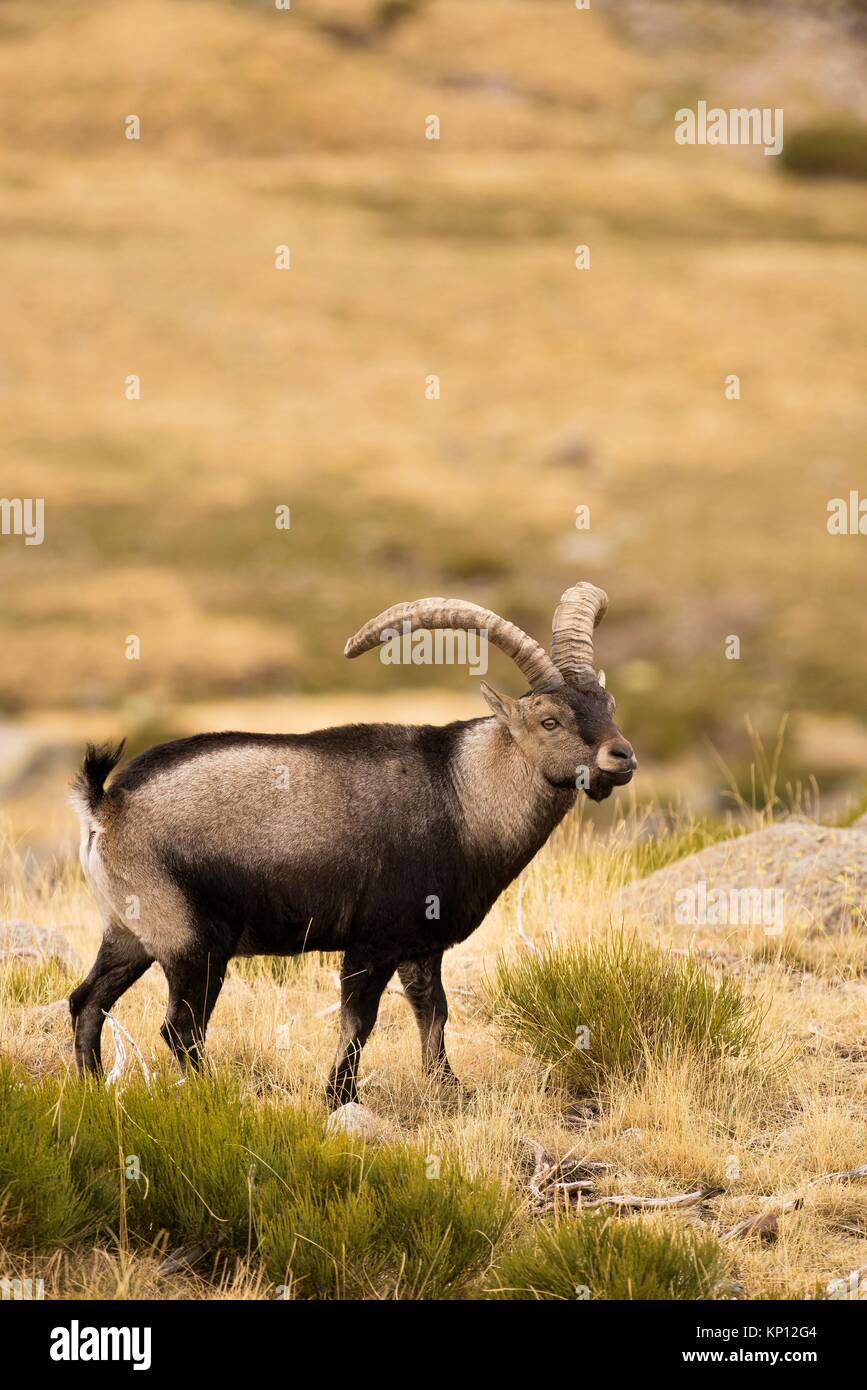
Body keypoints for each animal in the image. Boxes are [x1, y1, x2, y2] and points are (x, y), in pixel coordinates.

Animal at [68, 582, 636, 1104]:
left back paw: (91, 1090)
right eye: (549, 721)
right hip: (192, 942)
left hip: (129, 932)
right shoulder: (373, 941)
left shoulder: (420, 946)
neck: (462, 790)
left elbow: (434, 1013)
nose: (621, 755)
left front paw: (450, 1090)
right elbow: (359, 1022)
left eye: (608, 704)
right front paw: (340, 1097)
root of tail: (107, 805)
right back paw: (218, 1097)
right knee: (180, 1028)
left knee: (87, 1001)